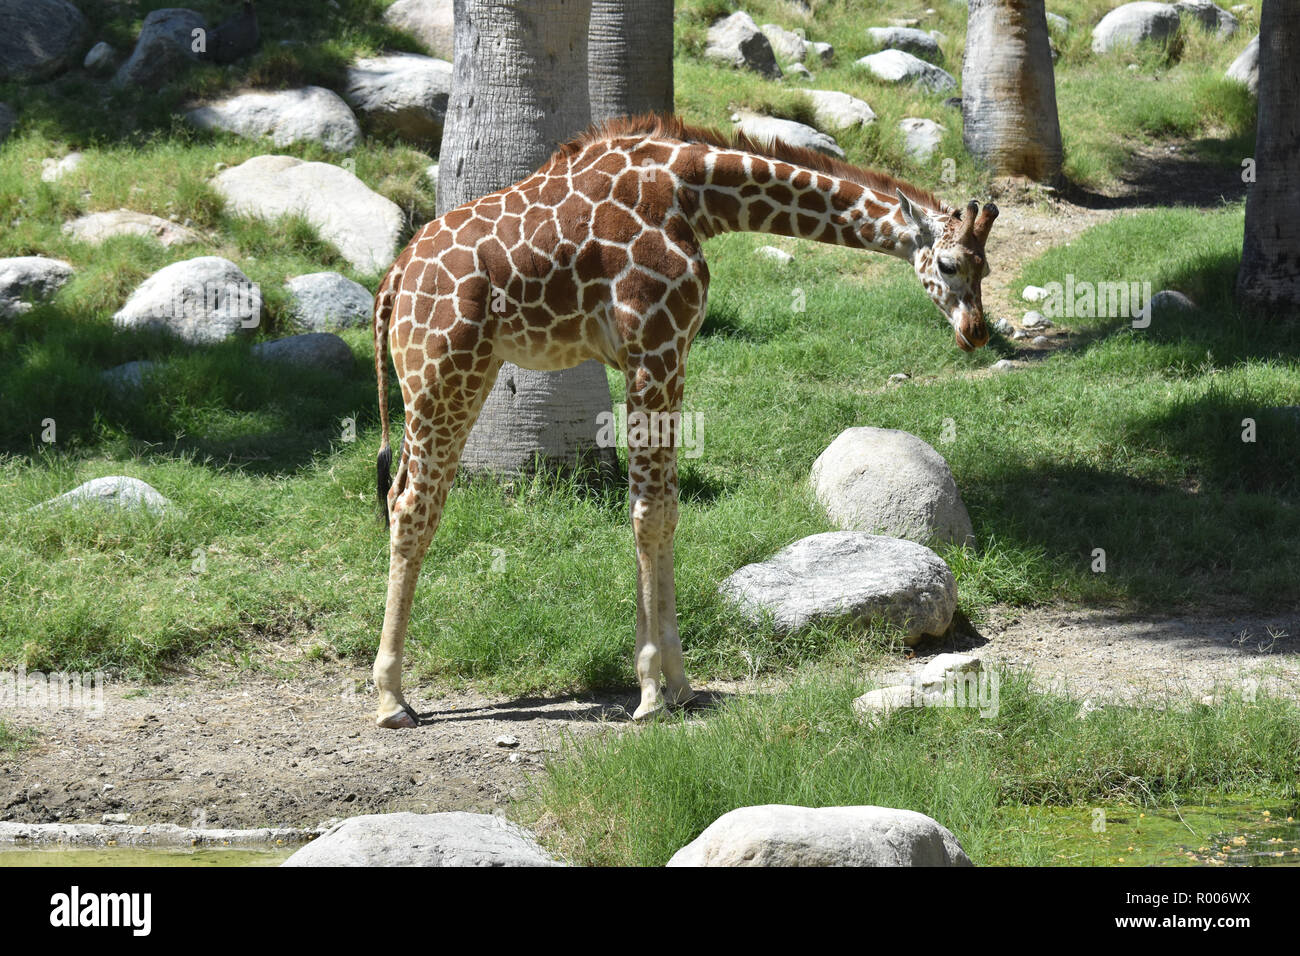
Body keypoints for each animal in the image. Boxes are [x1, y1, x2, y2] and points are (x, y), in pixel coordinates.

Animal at [370, 113, 998, 729]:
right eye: (947, 263)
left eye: (986, 268)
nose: (977, 333)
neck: (692, 194)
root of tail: (393, 279)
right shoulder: (654, 344)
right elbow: (648, 513)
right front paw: (650, 691)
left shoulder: (668, 351)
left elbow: (666, 510)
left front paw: (680, 685)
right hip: (442, 369)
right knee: (414, 505)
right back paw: (391, 700)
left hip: (455, 375)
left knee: (399, 492)